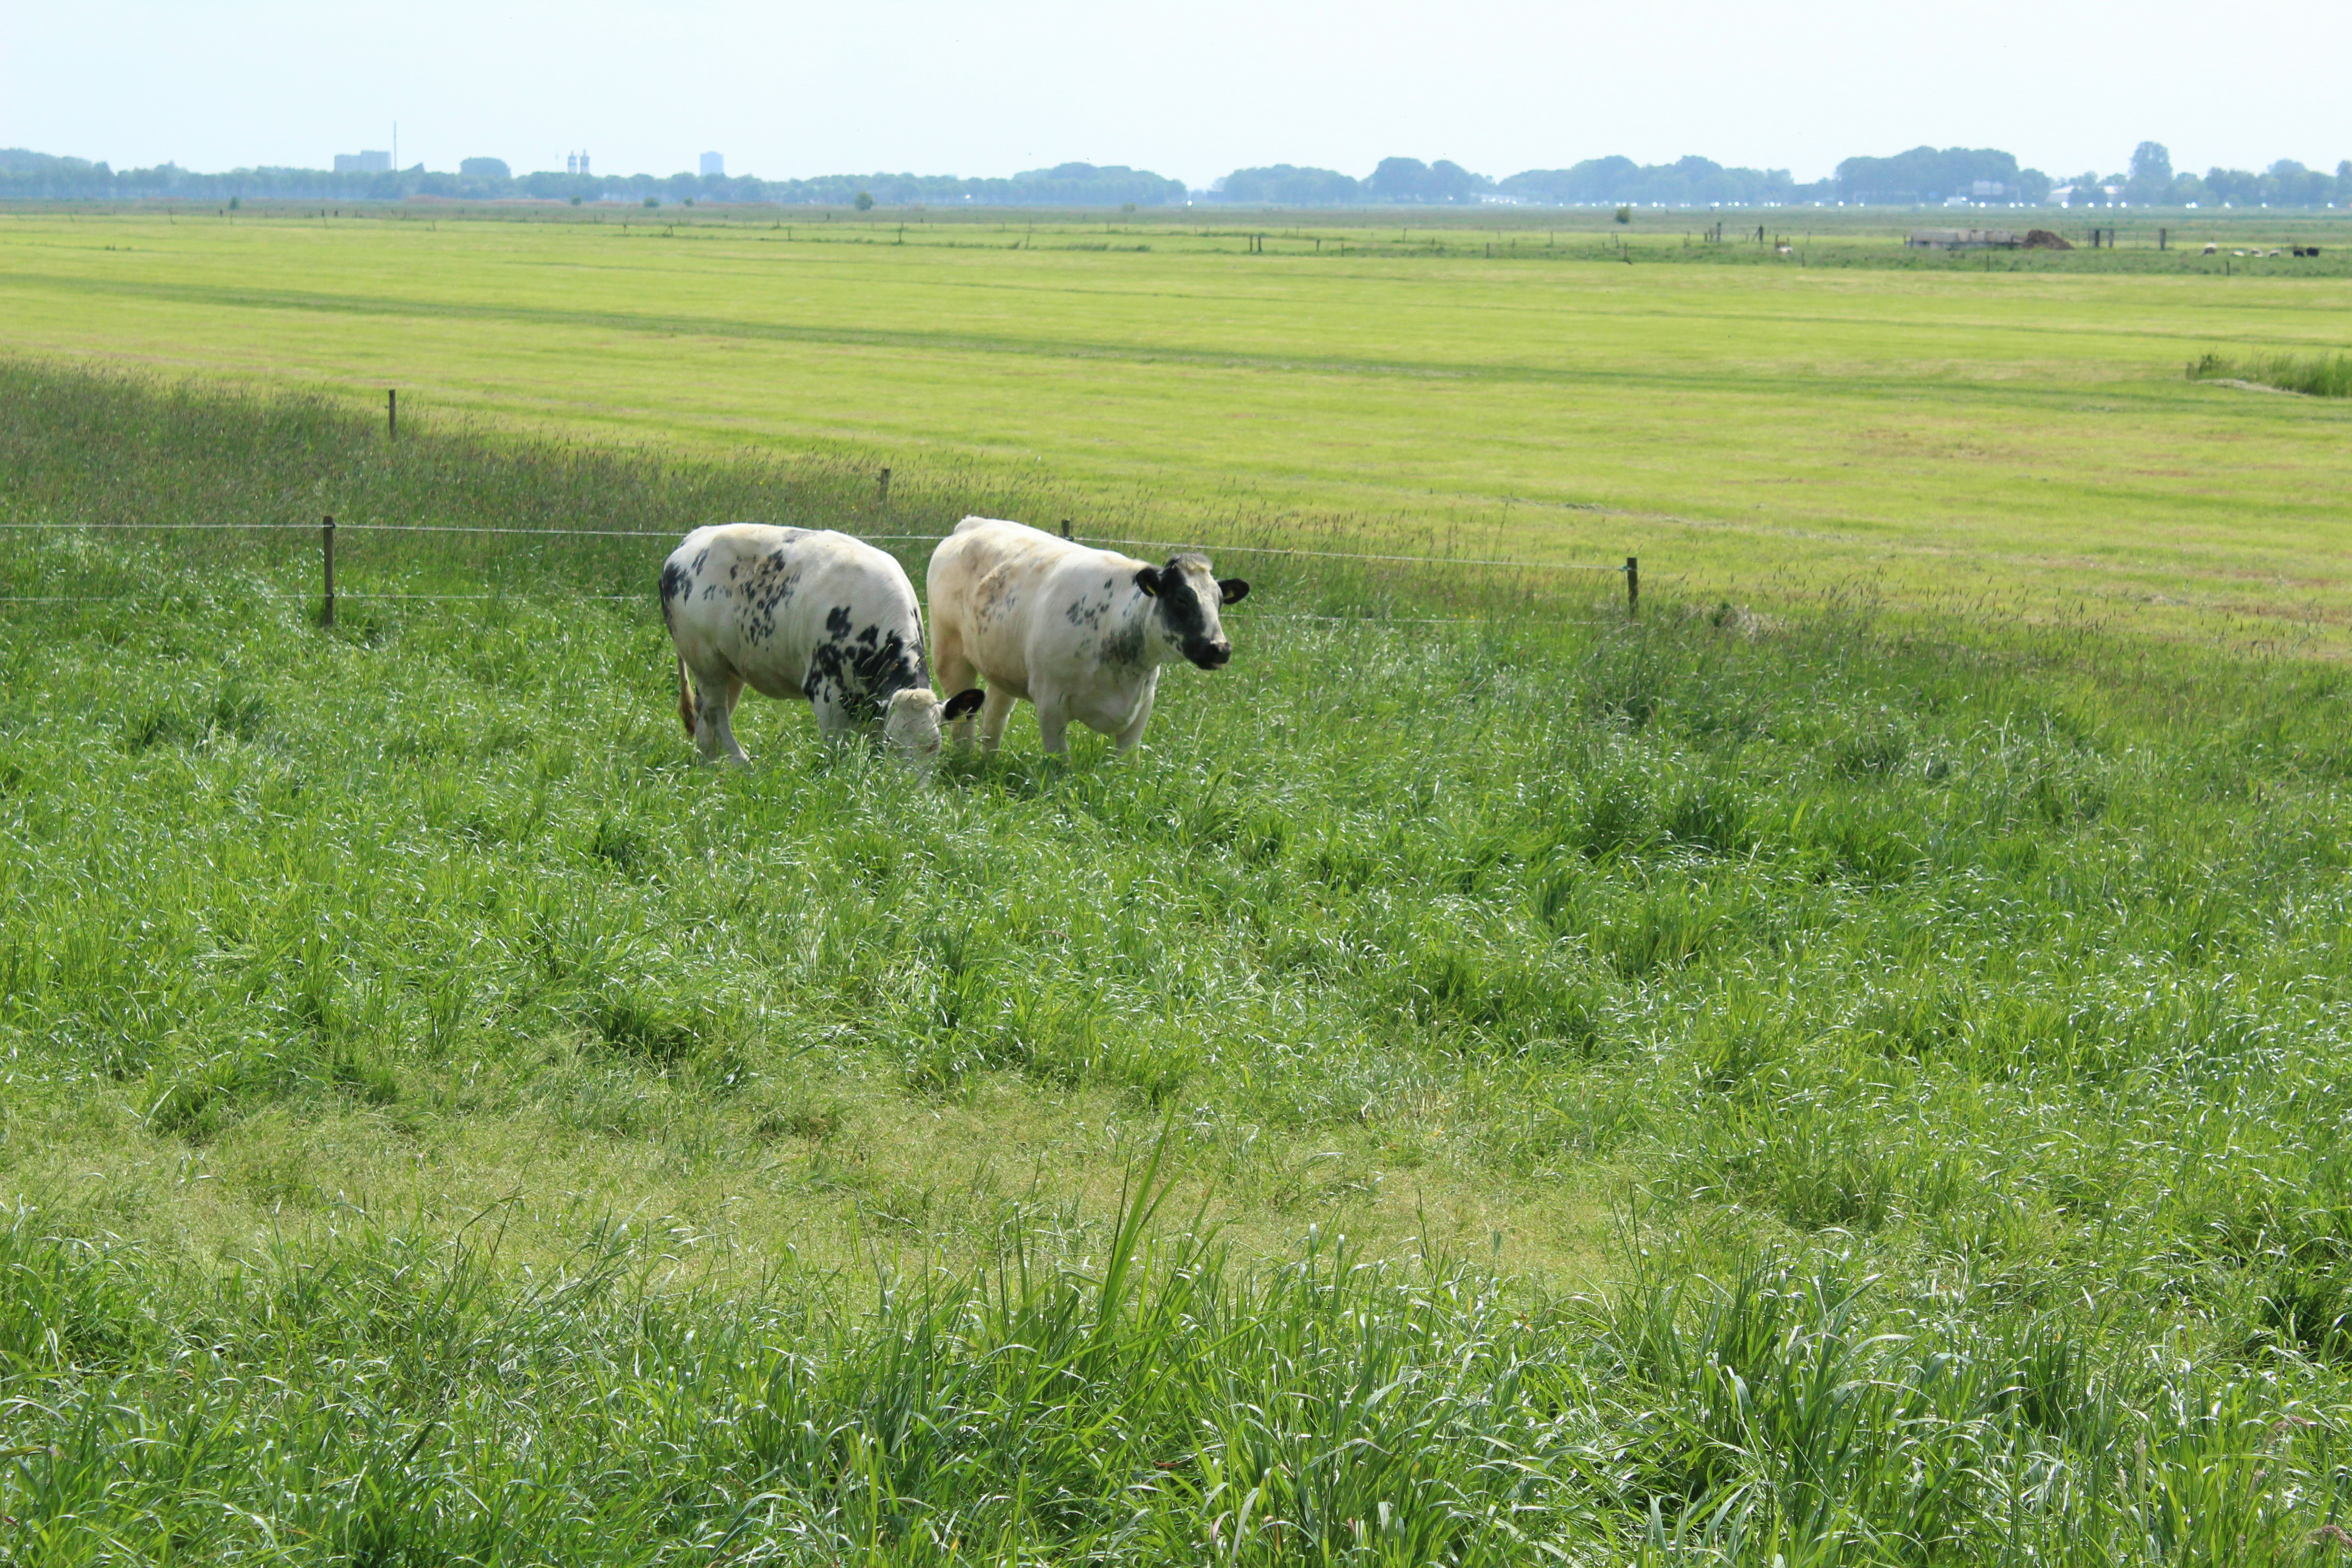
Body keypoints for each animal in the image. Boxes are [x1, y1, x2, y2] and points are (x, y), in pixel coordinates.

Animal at [659, 524, 982, 767]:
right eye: (894, 745)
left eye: (934, 746)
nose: (908, 791)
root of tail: (695, 537)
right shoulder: (826, 692)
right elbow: (836, 751)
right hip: (705, 661)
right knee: (716, 713)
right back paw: (743, 764)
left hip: (730, 667)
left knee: (707, 715)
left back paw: (710, 766)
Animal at [926, 516, 1248, 756]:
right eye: (1182, 599)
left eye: (1220, 601)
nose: (1220, 649)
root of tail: (973, 522)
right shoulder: (1050, 703)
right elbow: (1059, 764)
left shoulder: (1142, 707)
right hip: (950, 655)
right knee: (964, 720)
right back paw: (965, 760)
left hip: (1002, 664)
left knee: (995, 716)